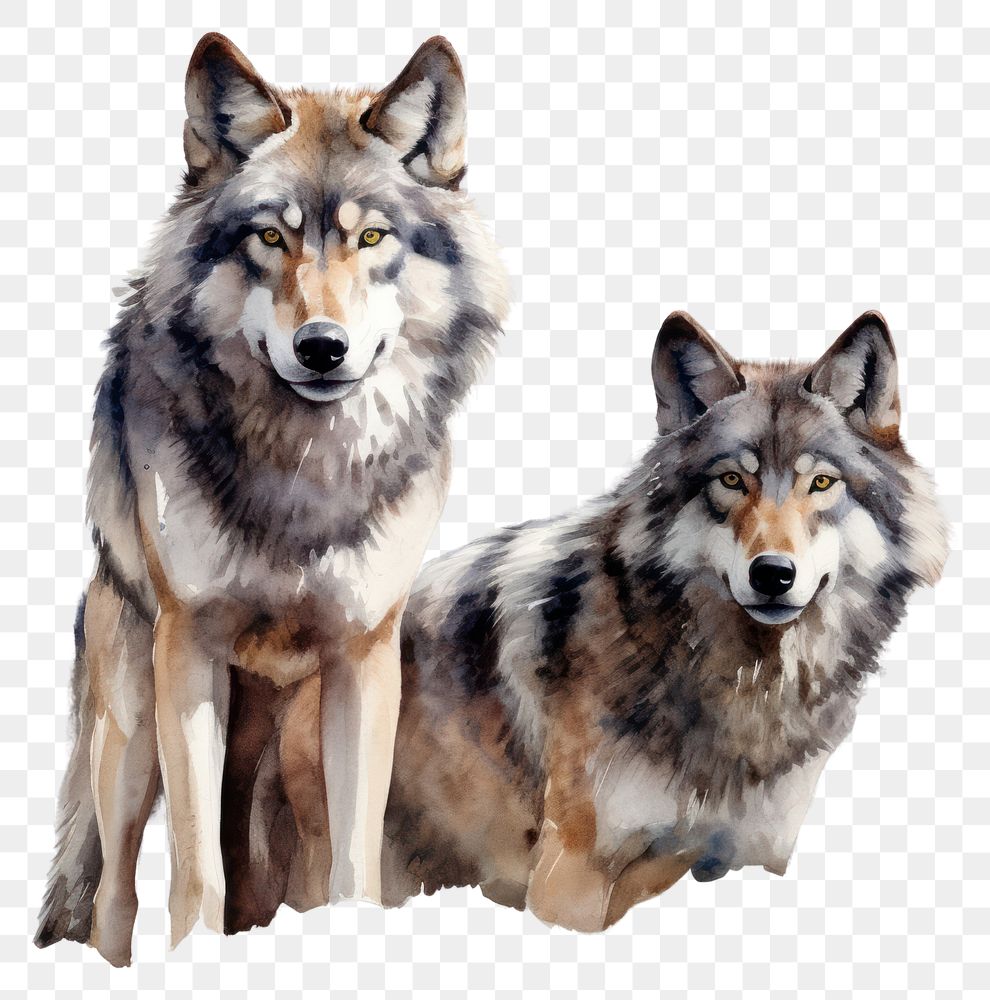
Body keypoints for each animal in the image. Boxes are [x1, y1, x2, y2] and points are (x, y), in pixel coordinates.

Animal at [34, 32, 509, 965]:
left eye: (372, 236)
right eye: (267, 237)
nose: (322, 347)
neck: (303, 470)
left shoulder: (364, 658)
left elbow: (355, 861)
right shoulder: (188, 648)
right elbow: (191, 874)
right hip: (131, 731)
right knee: (112, 892)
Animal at [246, 310, 947, 932]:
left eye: (822, 483)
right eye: (730, 481)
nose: (773, 574)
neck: (742, 689)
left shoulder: (755, 860)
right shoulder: (571, 875)